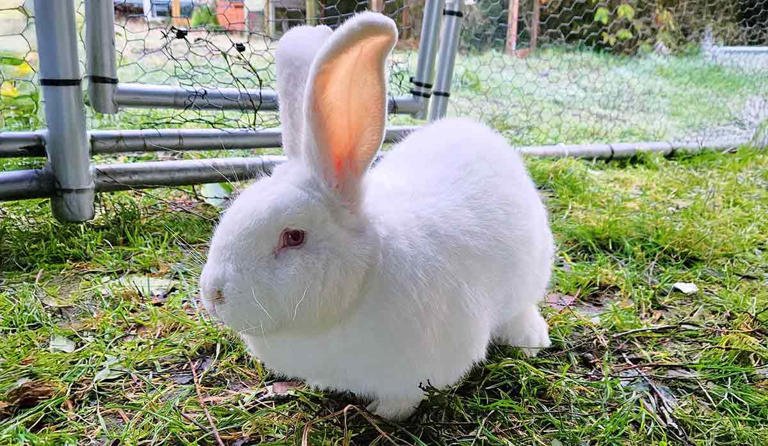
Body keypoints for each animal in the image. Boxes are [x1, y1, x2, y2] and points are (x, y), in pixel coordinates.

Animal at [199, 12, 554, 420]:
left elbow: (404, 396)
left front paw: (386, 412)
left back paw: (531, 340)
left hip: (529, 275)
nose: (213, 294)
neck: (363, 281)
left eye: (294, 237)